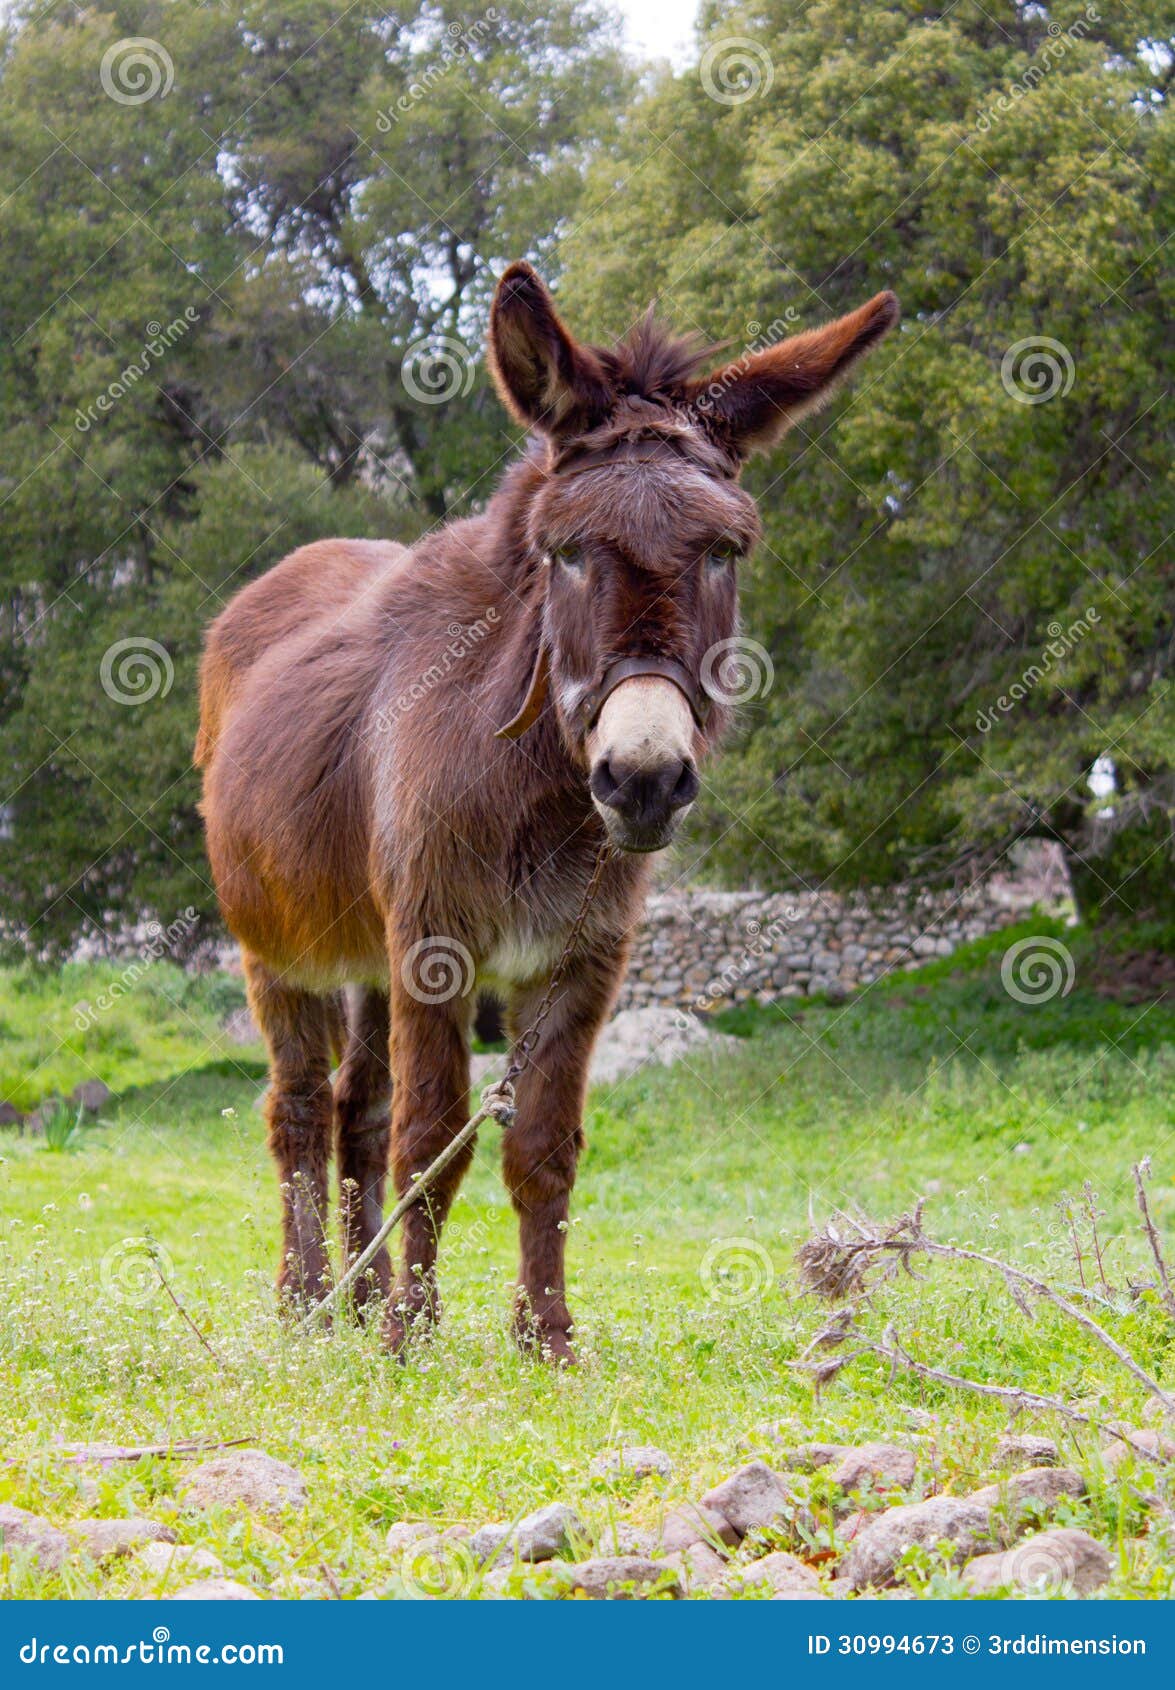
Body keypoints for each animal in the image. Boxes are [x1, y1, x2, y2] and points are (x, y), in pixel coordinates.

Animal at [196, 262, 898, 1363]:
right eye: (564, 551)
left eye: (725, 551)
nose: (643, 778)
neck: (540, 792)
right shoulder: (433, 946)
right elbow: (432, 1142)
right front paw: (409, 1340)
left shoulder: (579, 961)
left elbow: (541, 1150)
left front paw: (543, 1339)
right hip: (279, 946)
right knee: (302, 1110)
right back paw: (310, 1303)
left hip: (369, 949)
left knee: (357, 1107)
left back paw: (354, 1297)